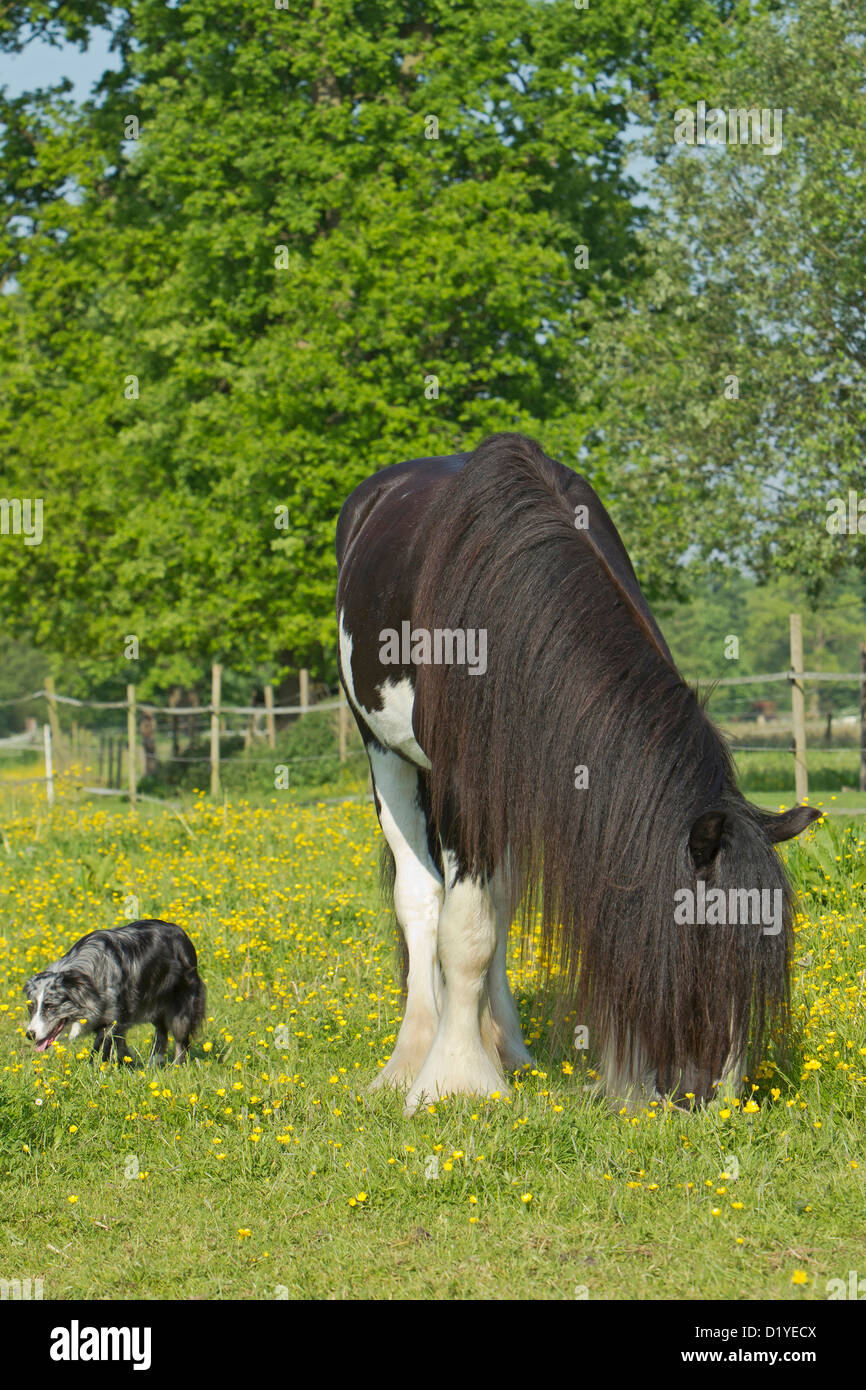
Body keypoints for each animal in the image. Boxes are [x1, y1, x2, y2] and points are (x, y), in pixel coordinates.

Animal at [335, 432, 819, 1115]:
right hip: (384, 751)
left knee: (497, 901)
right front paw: (455, 1082)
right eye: (700, 946)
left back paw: (505, 1045)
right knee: (421, 899)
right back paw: (412, 1058)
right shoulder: (459, 781)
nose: (710, 1100)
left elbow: (496, 914)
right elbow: (465, 927)